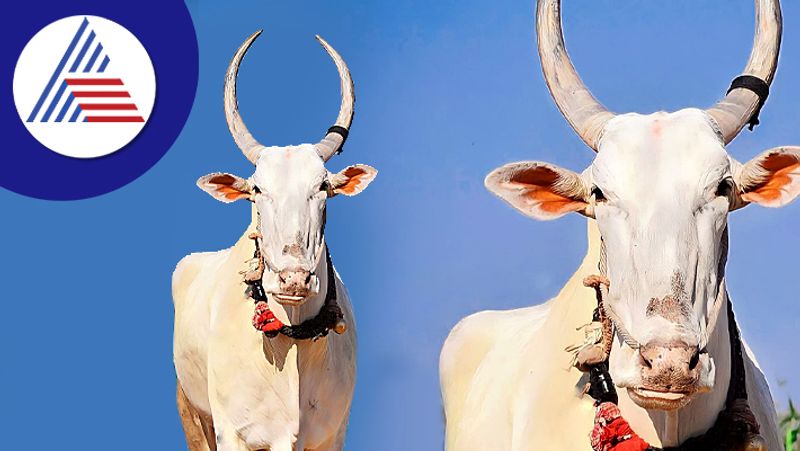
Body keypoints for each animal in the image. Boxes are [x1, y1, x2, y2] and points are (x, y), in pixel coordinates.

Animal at [173, 30, 377, 451]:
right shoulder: (233, 431)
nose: (293, 279)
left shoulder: (331, 434)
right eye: (257, 189)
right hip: (193, 415)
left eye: (322, 187)